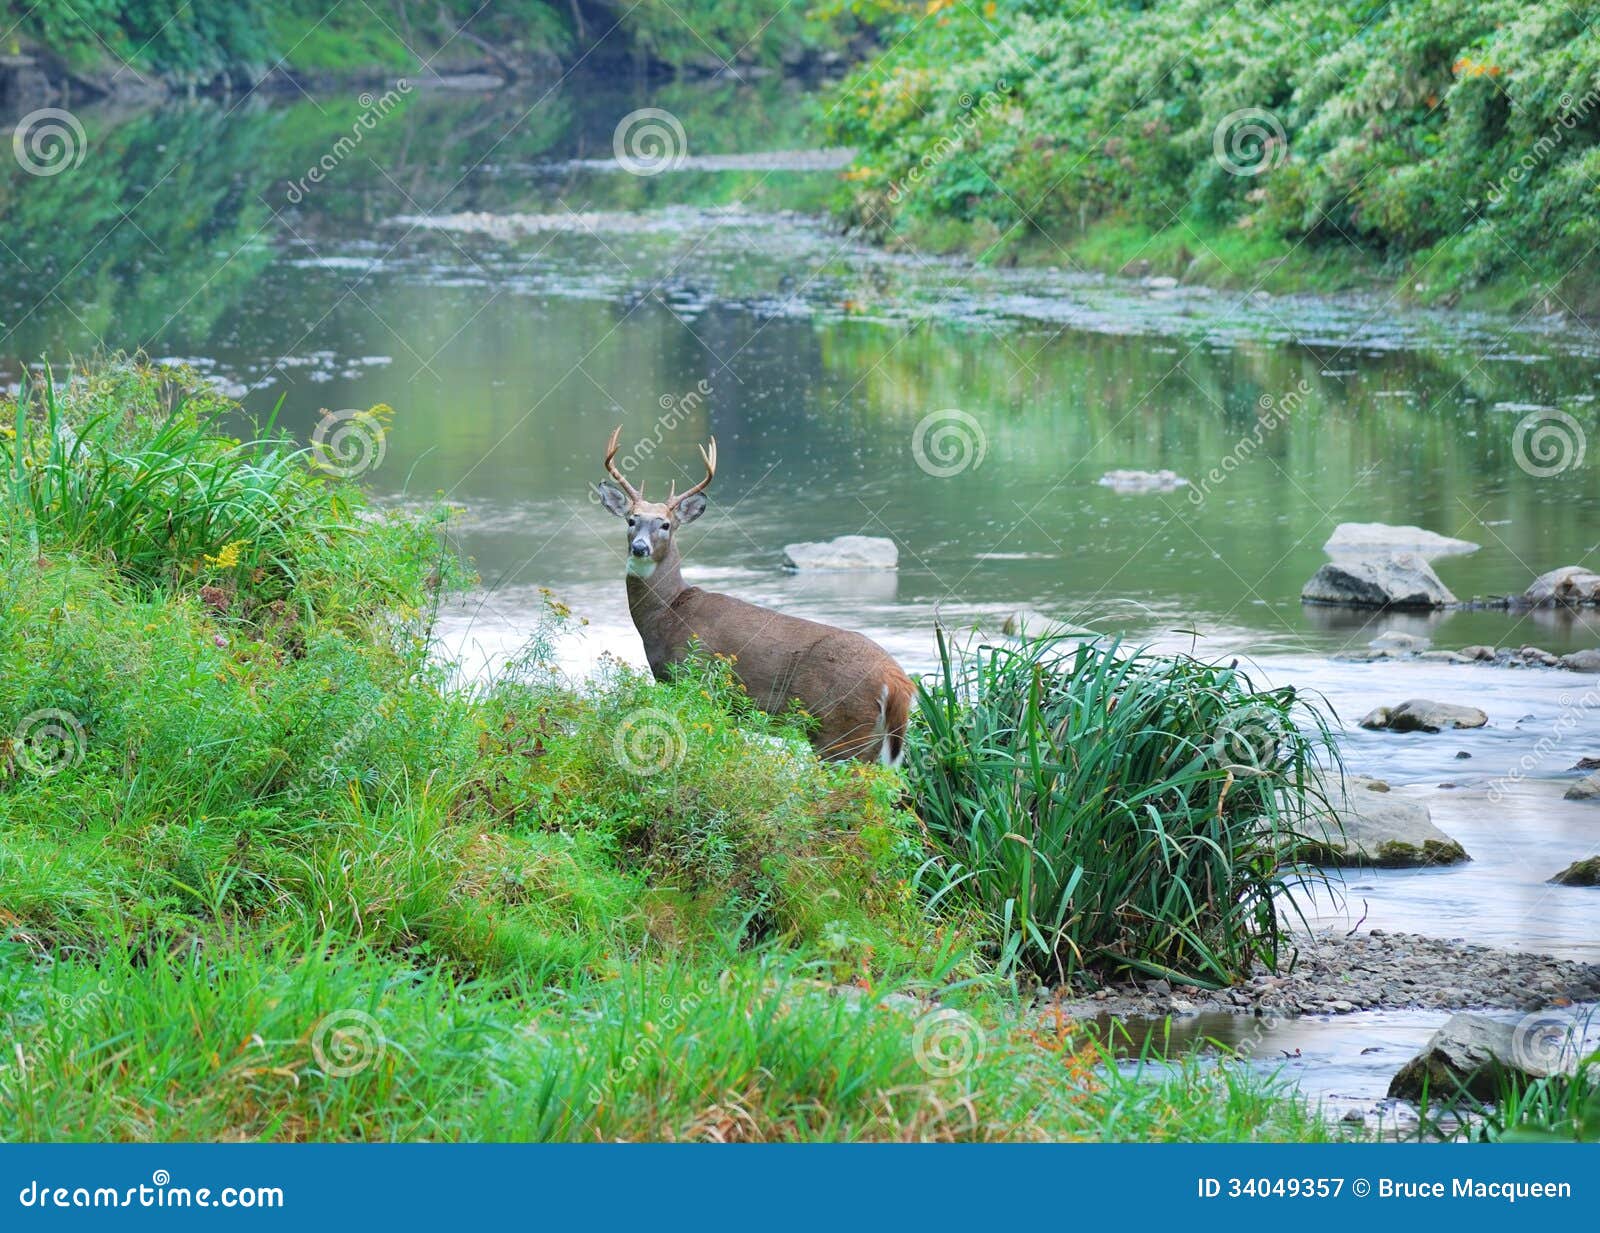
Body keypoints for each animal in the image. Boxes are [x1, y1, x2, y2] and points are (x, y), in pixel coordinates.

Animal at [594, 427, 915, 764]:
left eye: (666, 524)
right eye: (631, 520)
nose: (639, 547)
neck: (667, 613)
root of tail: (898, 684)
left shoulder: (695, 679)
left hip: (841, 732)